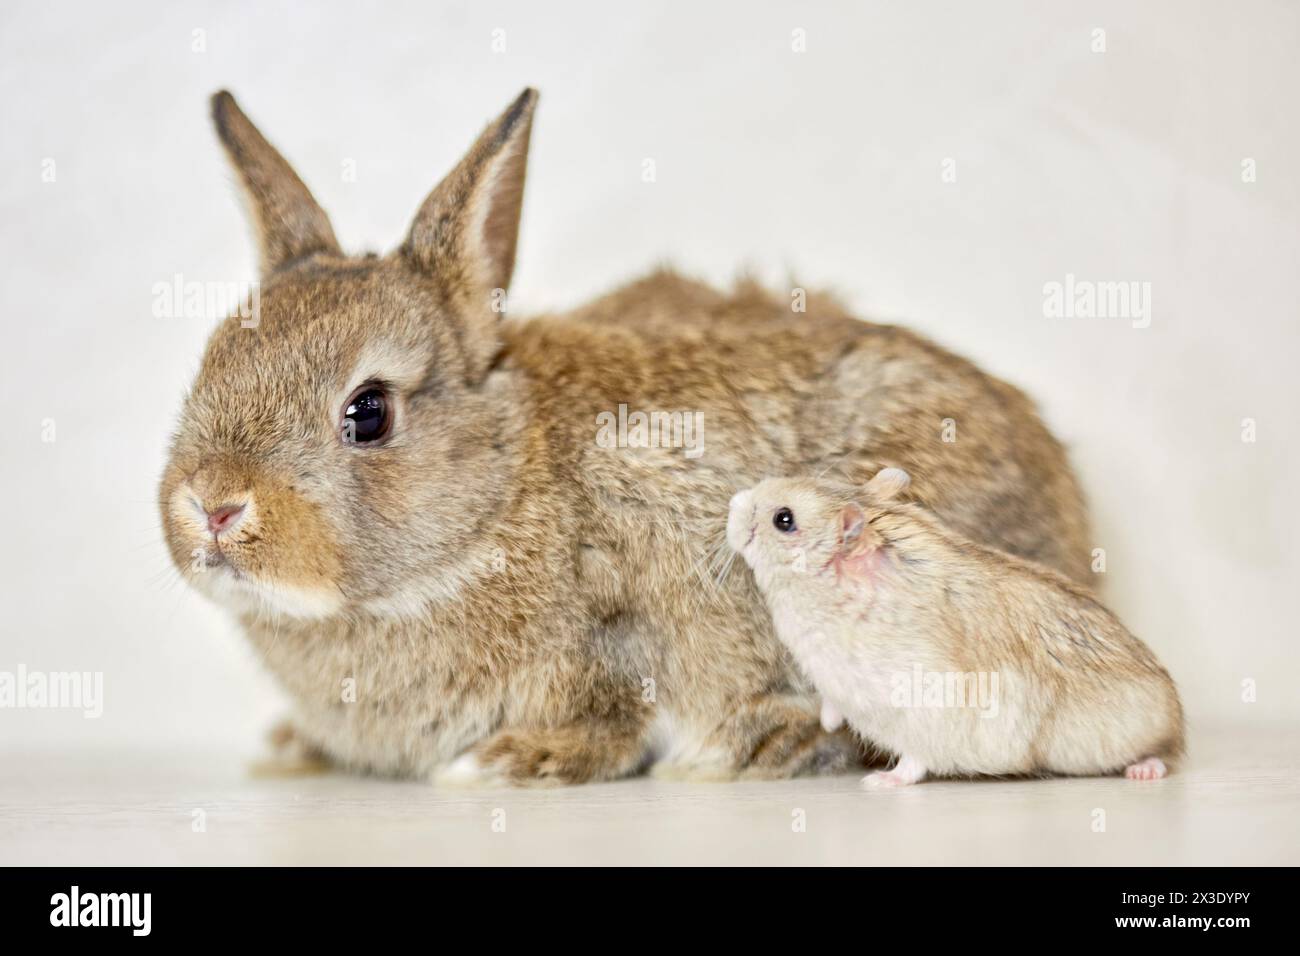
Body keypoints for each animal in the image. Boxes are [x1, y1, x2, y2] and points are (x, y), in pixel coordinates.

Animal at [158, 88, 1093, 786]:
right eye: (211, 361)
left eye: (369, 412)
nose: (214, 504)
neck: (498, 497)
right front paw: (293, 748)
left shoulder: (626, 613)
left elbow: (616, 709)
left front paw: (512, 760)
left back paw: (766, 745)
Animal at [727, 468, 1185, 788]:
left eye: (784, 519)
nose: (733, 501)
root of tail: (1179, 718)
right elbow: (831, 702)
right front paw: (826, 723)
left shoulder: (923, 707)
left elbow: (913, 759)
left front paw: (878, 781)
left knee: (1166, 755)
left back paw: (1144, 770)